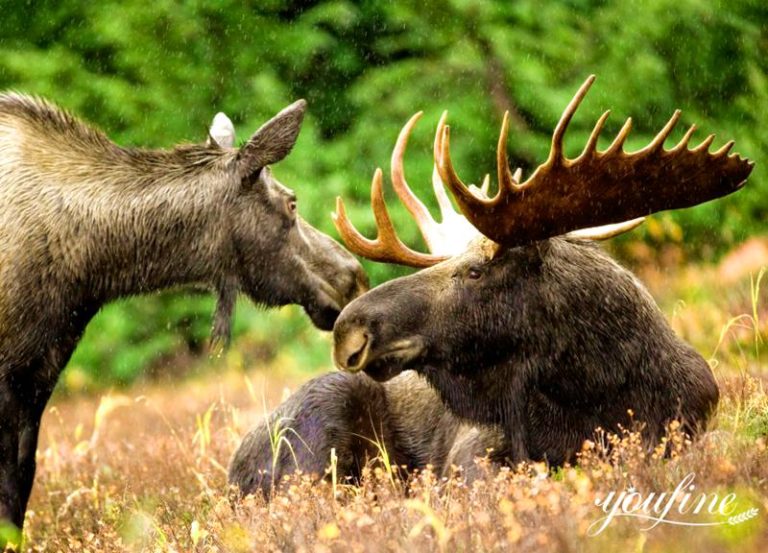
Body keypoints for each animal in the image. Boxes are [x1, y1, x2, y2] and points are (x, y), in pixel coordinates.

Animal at [228, 75, 753, 498]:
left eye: (475, 271)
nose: (349, 330)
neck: (596, 392)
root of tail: (232, 473)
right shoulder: (474, 451)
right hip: (322, 416)